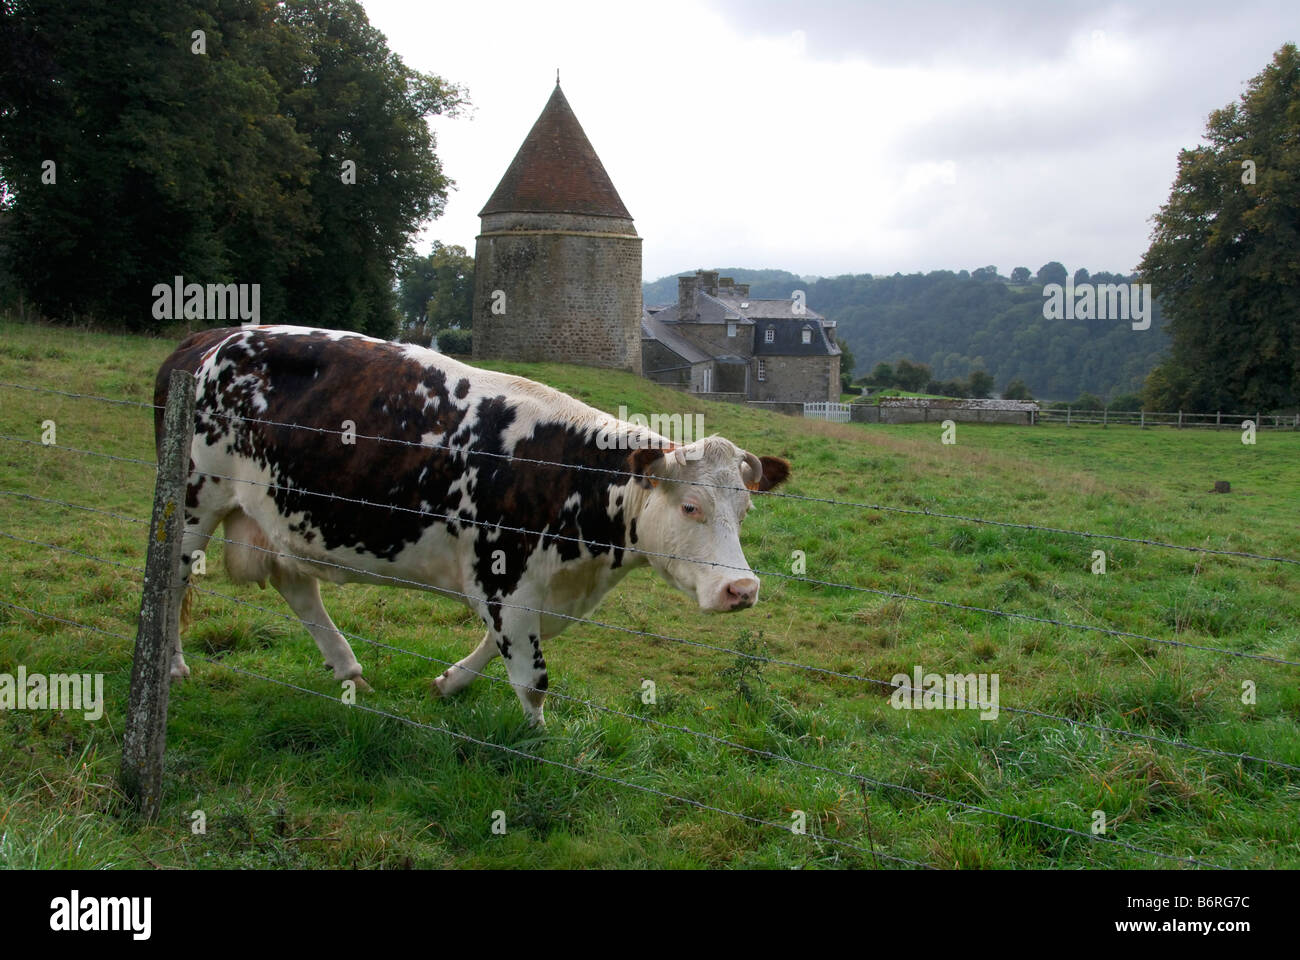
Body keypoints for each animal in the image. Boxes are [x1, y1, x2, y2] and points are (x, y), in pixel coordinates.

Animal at [154, 325, 790, 724]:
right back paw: (175, 666)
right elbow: (531, 678)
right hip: (193, 500)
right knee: (174, 578)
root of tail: (208, 338)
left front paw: (450, 683)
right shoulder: (500, 574)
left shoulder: (536, 590)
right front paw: (539, 750)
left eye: (745, 510)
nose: (742, 589)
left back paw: (349, 670)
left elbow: (500, 647)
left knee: (296, 585)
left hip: (282, 514)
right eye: (690, 507)